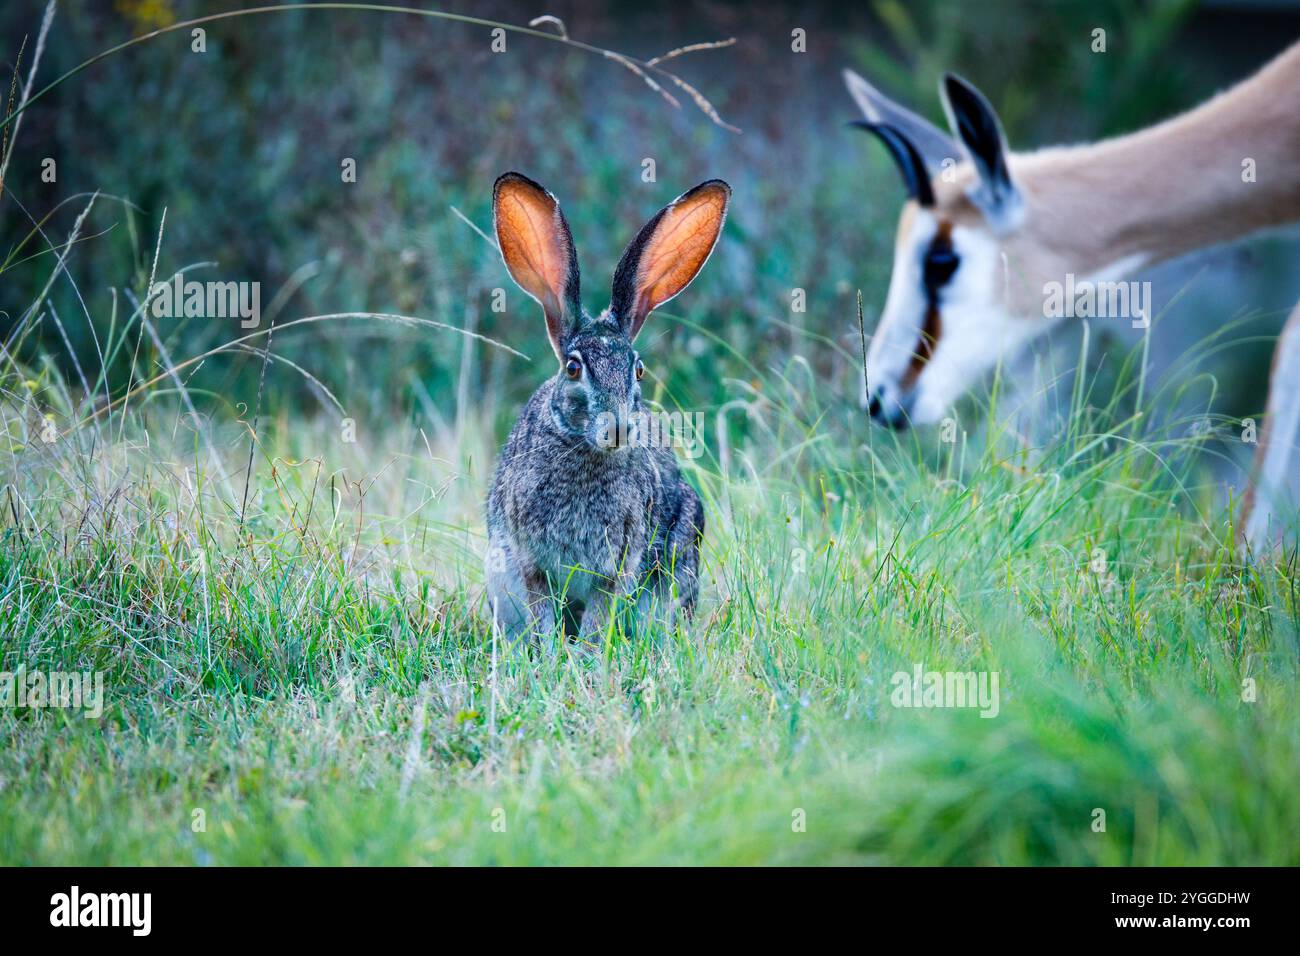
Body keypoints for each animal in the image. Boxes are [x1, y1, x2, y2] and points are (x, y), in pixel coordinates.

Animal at [485, 171, 730, 644]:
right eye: (574, 368)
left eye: (638, 370)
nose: (617, 429)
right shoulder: (529, 560)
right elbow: (543, 611)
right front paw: (551, 653)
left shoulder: (615, 565)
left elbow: (599, 616)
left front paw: (586, 654)